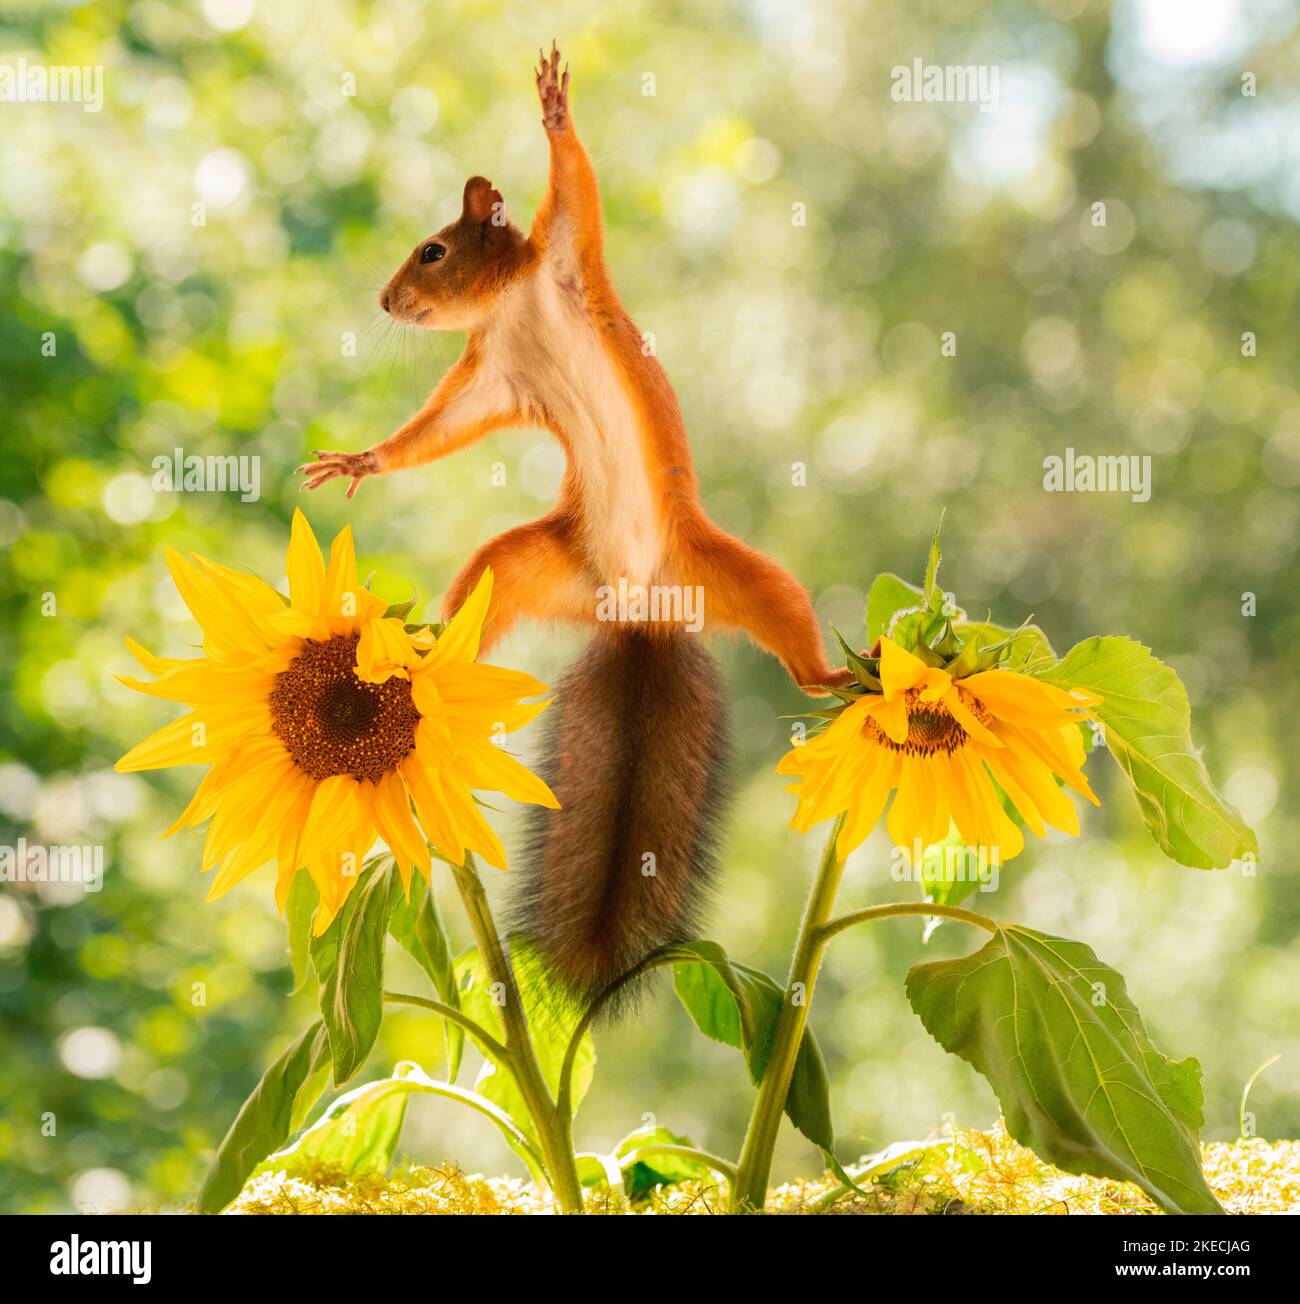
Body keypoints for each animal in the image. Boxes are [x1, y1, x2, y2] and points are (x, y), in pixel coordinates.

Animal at [301, 44, 854, 1001]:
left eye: (432, 250)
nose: (384, 302)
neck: (512, 301)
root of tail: (637, 612)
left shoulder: (567, 248)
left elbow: (574, 175)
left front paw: (555, 110)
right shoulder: (489, 376)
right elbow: (431, 434)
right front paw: (363, 461)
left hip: (734, 574)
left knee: (792, 633)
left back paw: (836, 676)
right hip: (526, 565)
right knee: (480, 605)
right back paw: (428, 661)